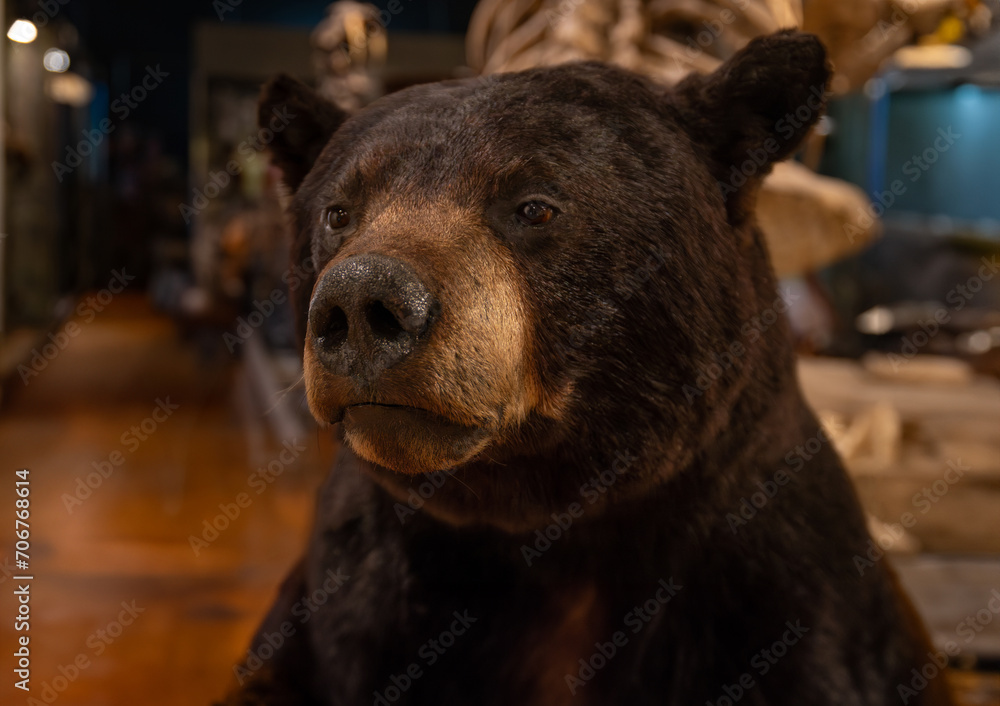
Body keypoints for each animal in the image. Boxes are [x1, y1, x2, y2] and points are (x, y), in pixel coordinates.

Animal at [220, 30, 953, 706]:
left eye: (535, 204)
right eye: (339, 212)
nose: (360, 299)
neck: (556, 521)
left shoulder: (792, 596)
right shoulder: (355, 607)